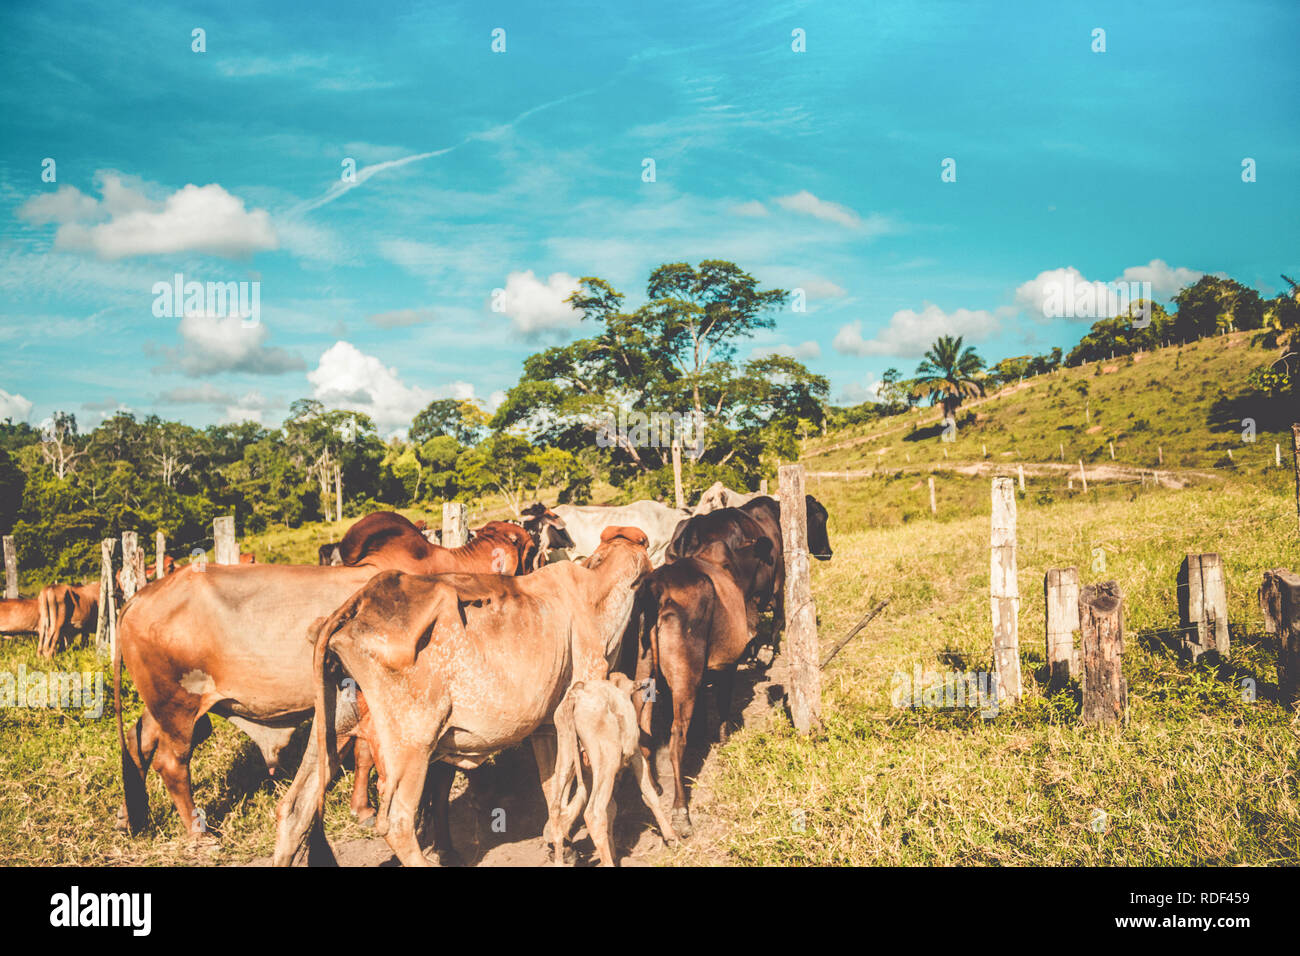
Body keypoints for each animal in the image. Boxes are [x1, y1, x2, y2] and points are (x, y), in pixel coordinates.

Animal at [271, 526, 654, 867]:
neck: (594, 593)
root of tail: (354, 608)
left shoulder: (548, 725)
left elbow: (554, 786)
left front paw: (561, 843)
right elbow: (585, 789)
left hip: (331, 733)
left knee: (294, 810)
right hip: (412, 744)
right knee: (396, 822)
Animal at [548, 673, 678, 866]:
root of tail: (577, 693)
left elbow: (611, 809)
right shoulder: (636, 754)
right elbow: (649, 794)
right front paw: (671, 836)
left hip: (566, 758)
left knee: (556, 810)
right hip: (606, 760)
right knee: (594, 813)